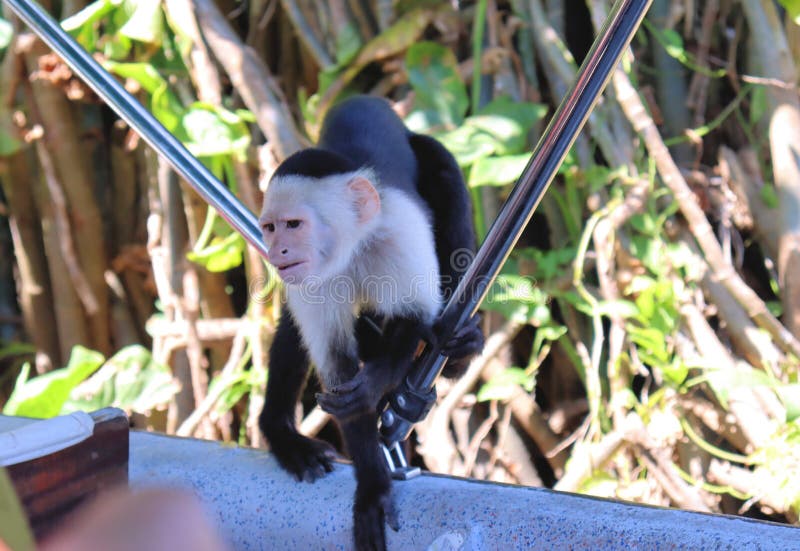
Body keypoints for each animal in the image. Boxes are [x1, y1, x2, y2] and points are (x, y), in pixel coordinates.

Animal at [258, 95, 484, 551]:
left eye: (293, 225)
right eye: (270, 228)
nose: (277, 251)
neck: (349, 248)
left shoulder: (401, 233)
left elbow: (414, 317)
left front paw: (373, 386)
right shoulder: (308, 280)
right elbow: (335, 363)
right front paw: (374, 488)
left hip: (434, 153)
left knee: (448, 189)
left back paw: (459, 354)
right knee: (294, 328)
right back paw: (281, 432)